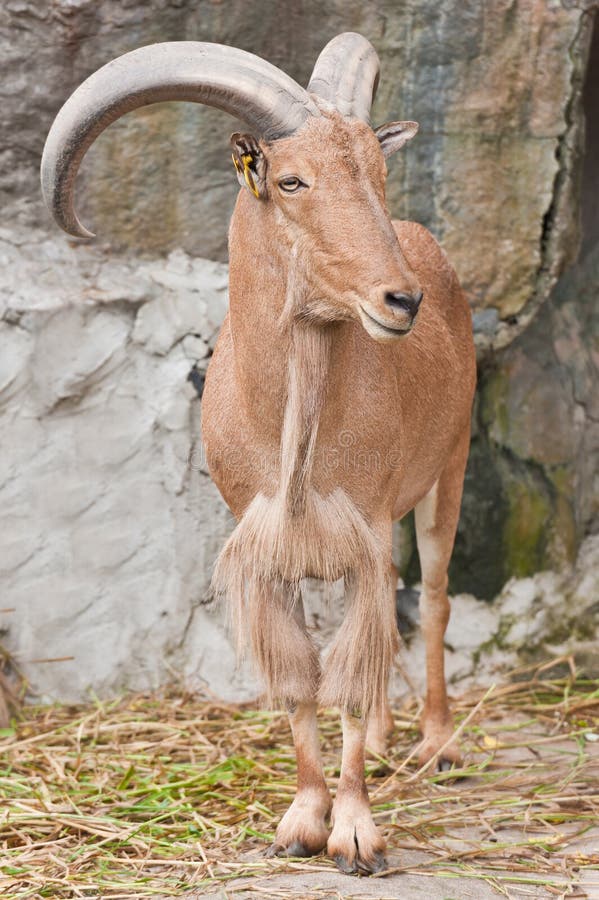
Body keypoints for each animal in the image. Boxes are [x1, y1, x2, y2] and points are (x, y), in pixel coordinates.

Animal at [41, 33, 476, 875]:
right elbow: (303, 677)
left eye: (376, 173)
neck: (295, 437)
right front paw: (302, 821)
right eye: (290, 179)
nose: (399, 300)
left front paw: (355, 834)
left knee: (435, 595)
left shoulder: (361, 527)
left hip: (449, 466)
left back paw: (436, 746)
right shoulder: (269, 546)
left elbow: (346, 676)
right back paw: (385, 737)